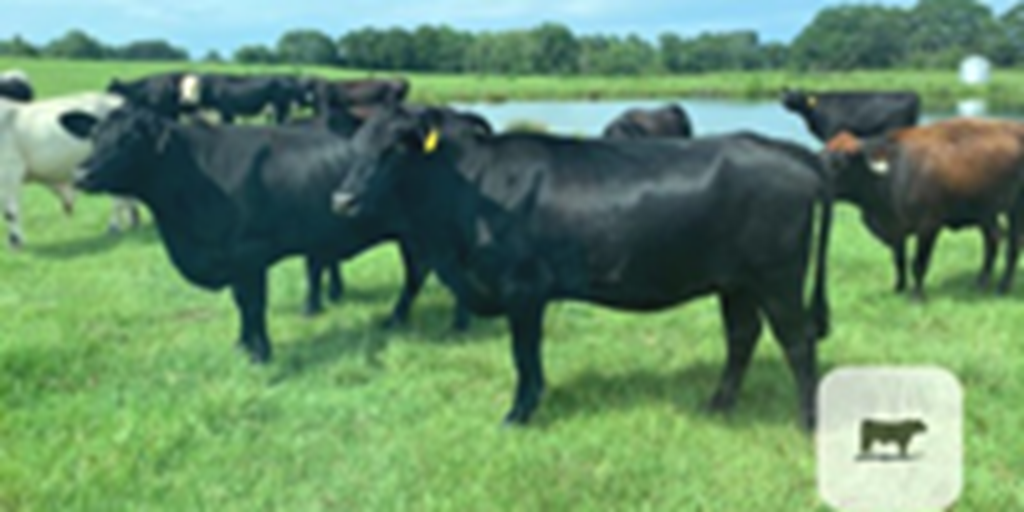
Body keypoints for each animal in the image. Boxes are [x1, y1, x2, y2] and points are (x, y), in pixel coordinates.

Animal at [0, 93, 140, 249]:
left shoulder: (9, 171)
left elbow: (9, 212)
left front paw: (15, 241)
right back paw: (133, 221)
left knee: (119, 199)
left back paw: (114, 227)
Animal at [59, 103, 471, 362]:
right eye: (94, 135)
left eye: (130, 138)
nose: (82, 174)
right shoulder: (230, 259)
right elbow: (241, 304)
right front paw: (241, 345)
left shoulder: (249, 255)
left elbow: (253, 304)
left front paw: (260, 353)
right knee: (418, 273)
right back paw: (397, 319)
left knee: (438, 272)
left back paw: (457, 325)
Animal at [331, 106, 833, 430]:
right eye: (355, 147)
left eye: (396, 148)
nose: (342, 200)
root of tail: (786, 150)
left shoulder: (522, 289)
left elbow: (524, 355)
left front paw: (518, 414)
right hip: (737, 283)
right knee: (742, 336)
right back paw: (718, 407)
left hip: (777, 279)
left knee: (798, 341)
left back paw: (807, 422)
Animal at [824, 119, 1024, 298]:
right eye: (822, 156)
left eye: (840, 162)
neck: (892, 172)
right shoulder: (897, 230)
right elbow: (899, 260)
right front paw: (899, 288)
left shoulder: (928, 226)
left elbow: (919, 262)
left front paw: (917, 295)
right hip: (986, 214)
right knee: (993, 240)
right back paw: (980, 283)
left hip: (1014, 211)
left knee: (1012, 246)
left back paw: (1002, 287)